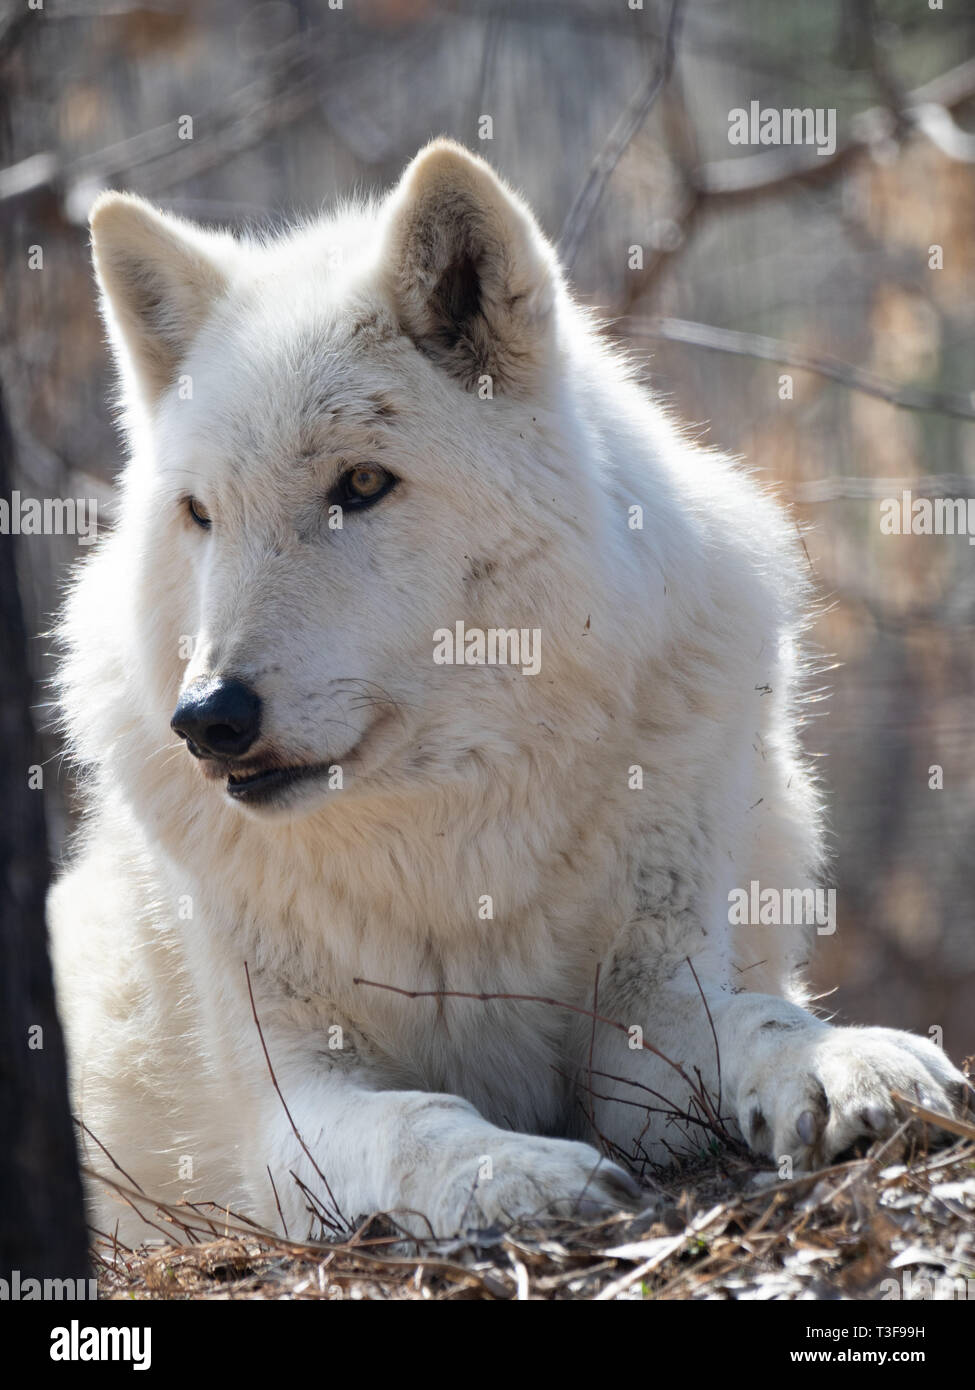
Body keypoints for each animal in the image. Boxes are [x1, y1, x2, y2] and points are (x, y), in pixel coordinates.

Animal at [50, 140, 970, 1243]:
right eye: (200, 514)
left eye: (362, 485)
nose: (208, 720)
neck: (457, 827)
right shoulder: (289, 1098)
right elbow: (417, 1118)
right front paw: (517, 1173)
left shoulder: (650, 1006)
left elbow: (759, 1018)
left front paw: (846, 1060)